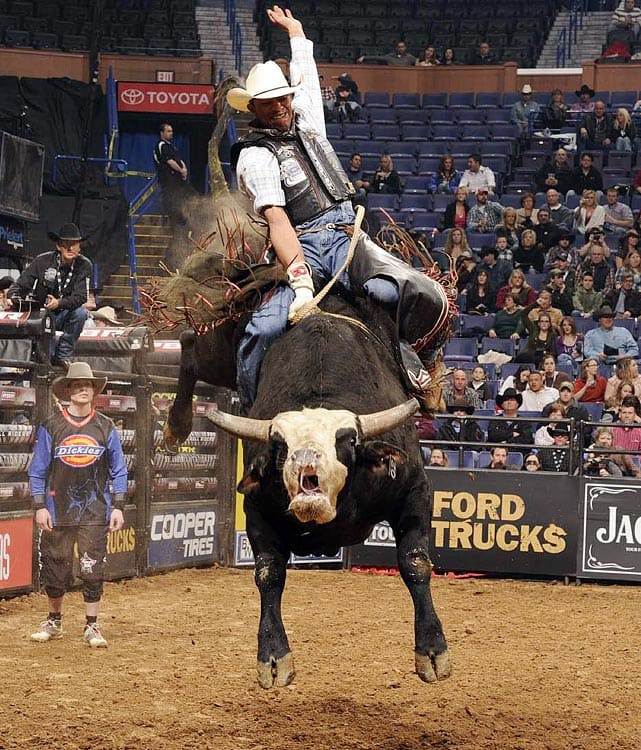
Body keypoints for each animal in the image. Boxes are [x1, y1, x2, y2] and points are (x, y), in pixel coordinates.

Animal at [205, 291, 451, 689]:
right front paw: (273, 656)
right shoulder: (256, 509)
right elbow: (268, 573)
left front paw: (431, 650)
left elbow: (414, 563)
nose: (308, 465)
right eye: (280, 446)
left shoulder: (415, 489)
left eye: (346, 440)